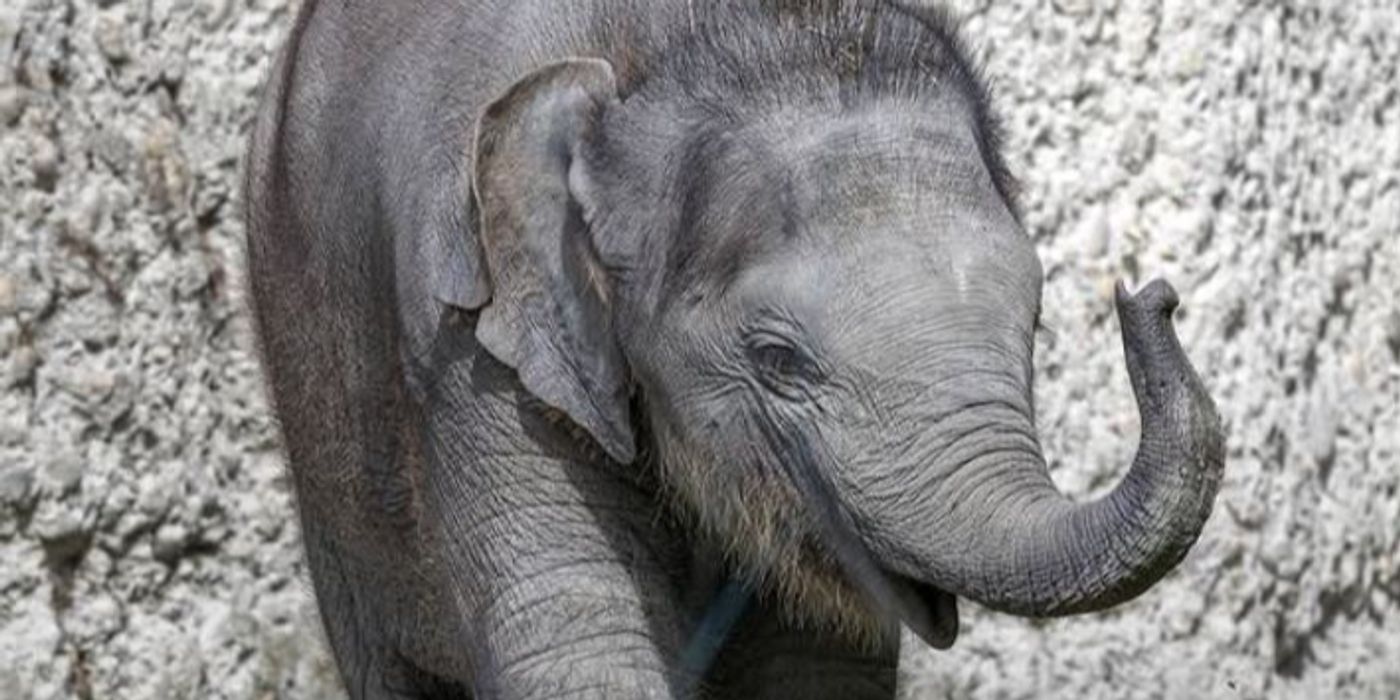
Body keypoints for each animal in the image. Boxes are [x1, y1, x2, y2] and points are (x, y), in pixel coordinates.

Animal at [242, 0, 1225, 698]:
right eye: (778, 360)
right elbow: (577, 641)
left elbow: (816, 670)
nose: (1150, 293)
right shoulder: (469, 354)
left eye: (1035, 322)